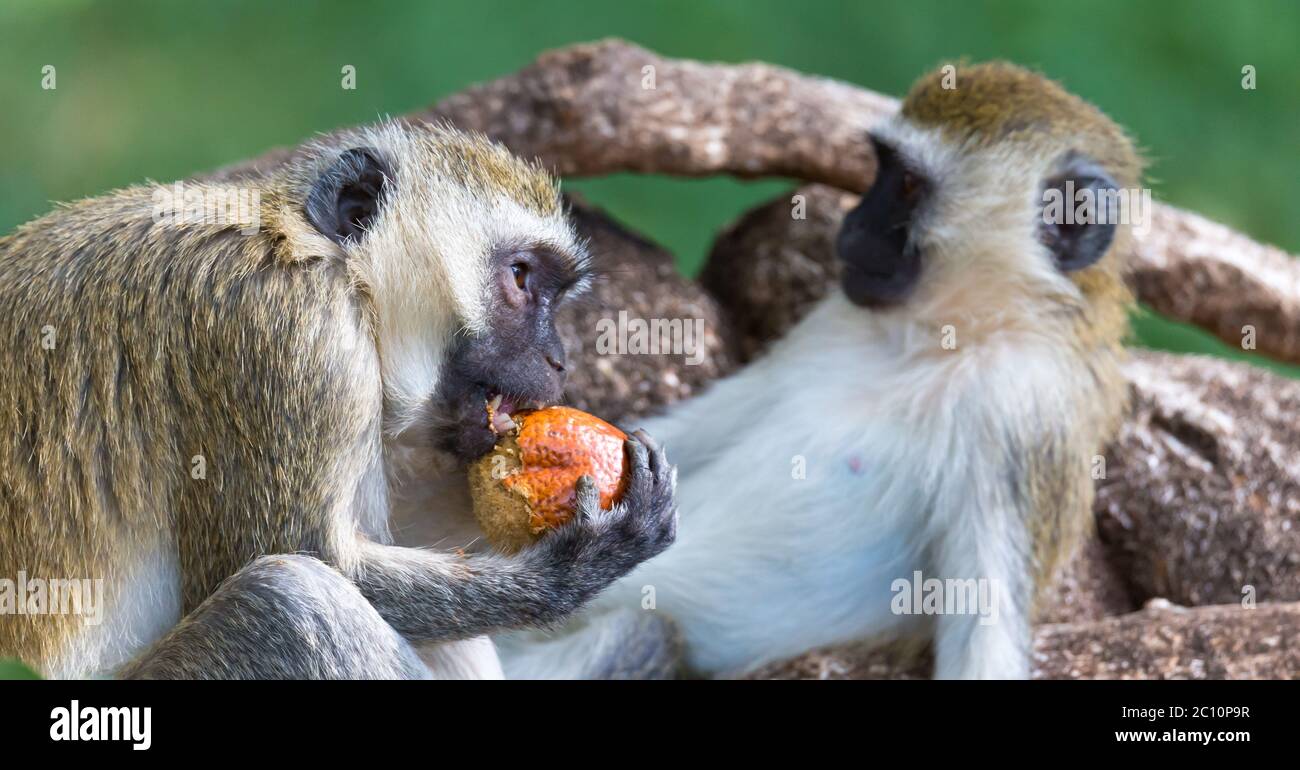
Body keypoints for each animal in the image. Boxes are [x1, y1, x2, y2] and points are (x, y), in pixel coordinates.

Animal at [0, 120, 678, 679]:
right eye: (520, 277)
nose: (559, 359)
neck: (317, 253)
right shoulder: (293, 331)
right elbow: (312, 558)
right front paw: (577, 566)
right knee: (288, 602)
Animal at [495, 62, 1140, 680]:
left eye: (908, 185)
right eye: (883, 169)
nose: (852, 224)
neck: (939, 341)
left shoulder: (1023, 408)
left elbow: (983, 644)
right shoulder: (831, 321)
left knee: (644, 634)